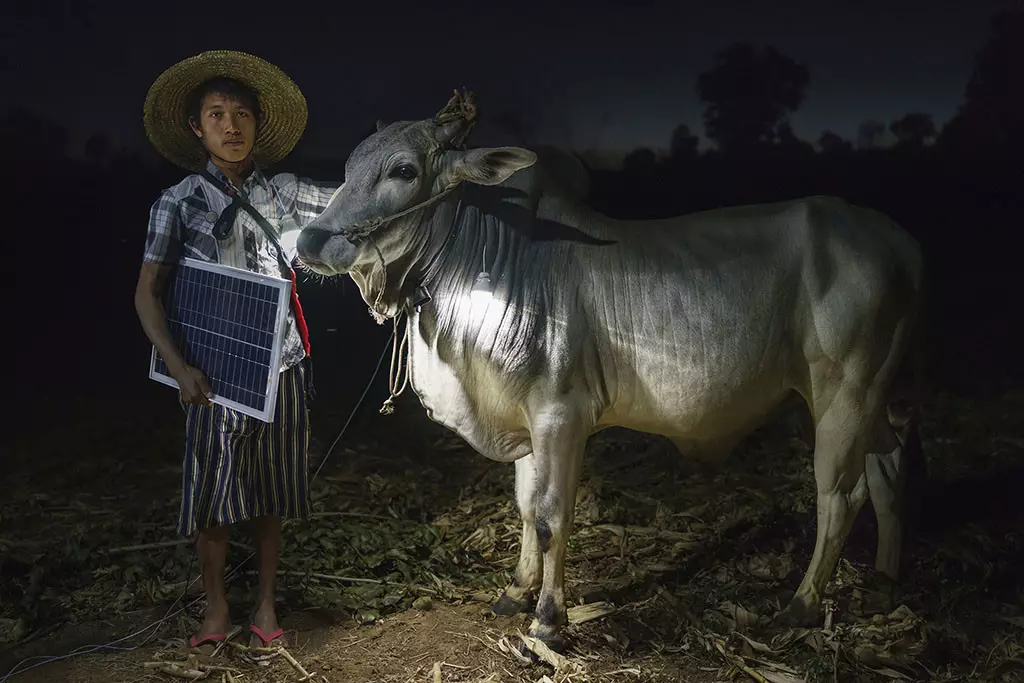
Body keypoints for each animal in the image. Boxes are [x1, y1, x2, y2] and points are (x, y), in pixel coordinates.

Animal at [296, 92, 929, 651]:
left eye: (403, 169)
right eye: (348, 167)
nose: (310, 240)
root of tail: (899, 241)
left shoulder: (561, 416)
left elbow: (552, 516)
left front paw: (548, 620)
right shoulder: (525, 419)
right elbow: (525, 507)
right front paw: (515, 592)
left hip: (844, 391)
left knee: (839, 495)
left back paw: (801, 603)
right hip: (841, 399)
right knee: (889, 465)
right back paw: (884, 581)